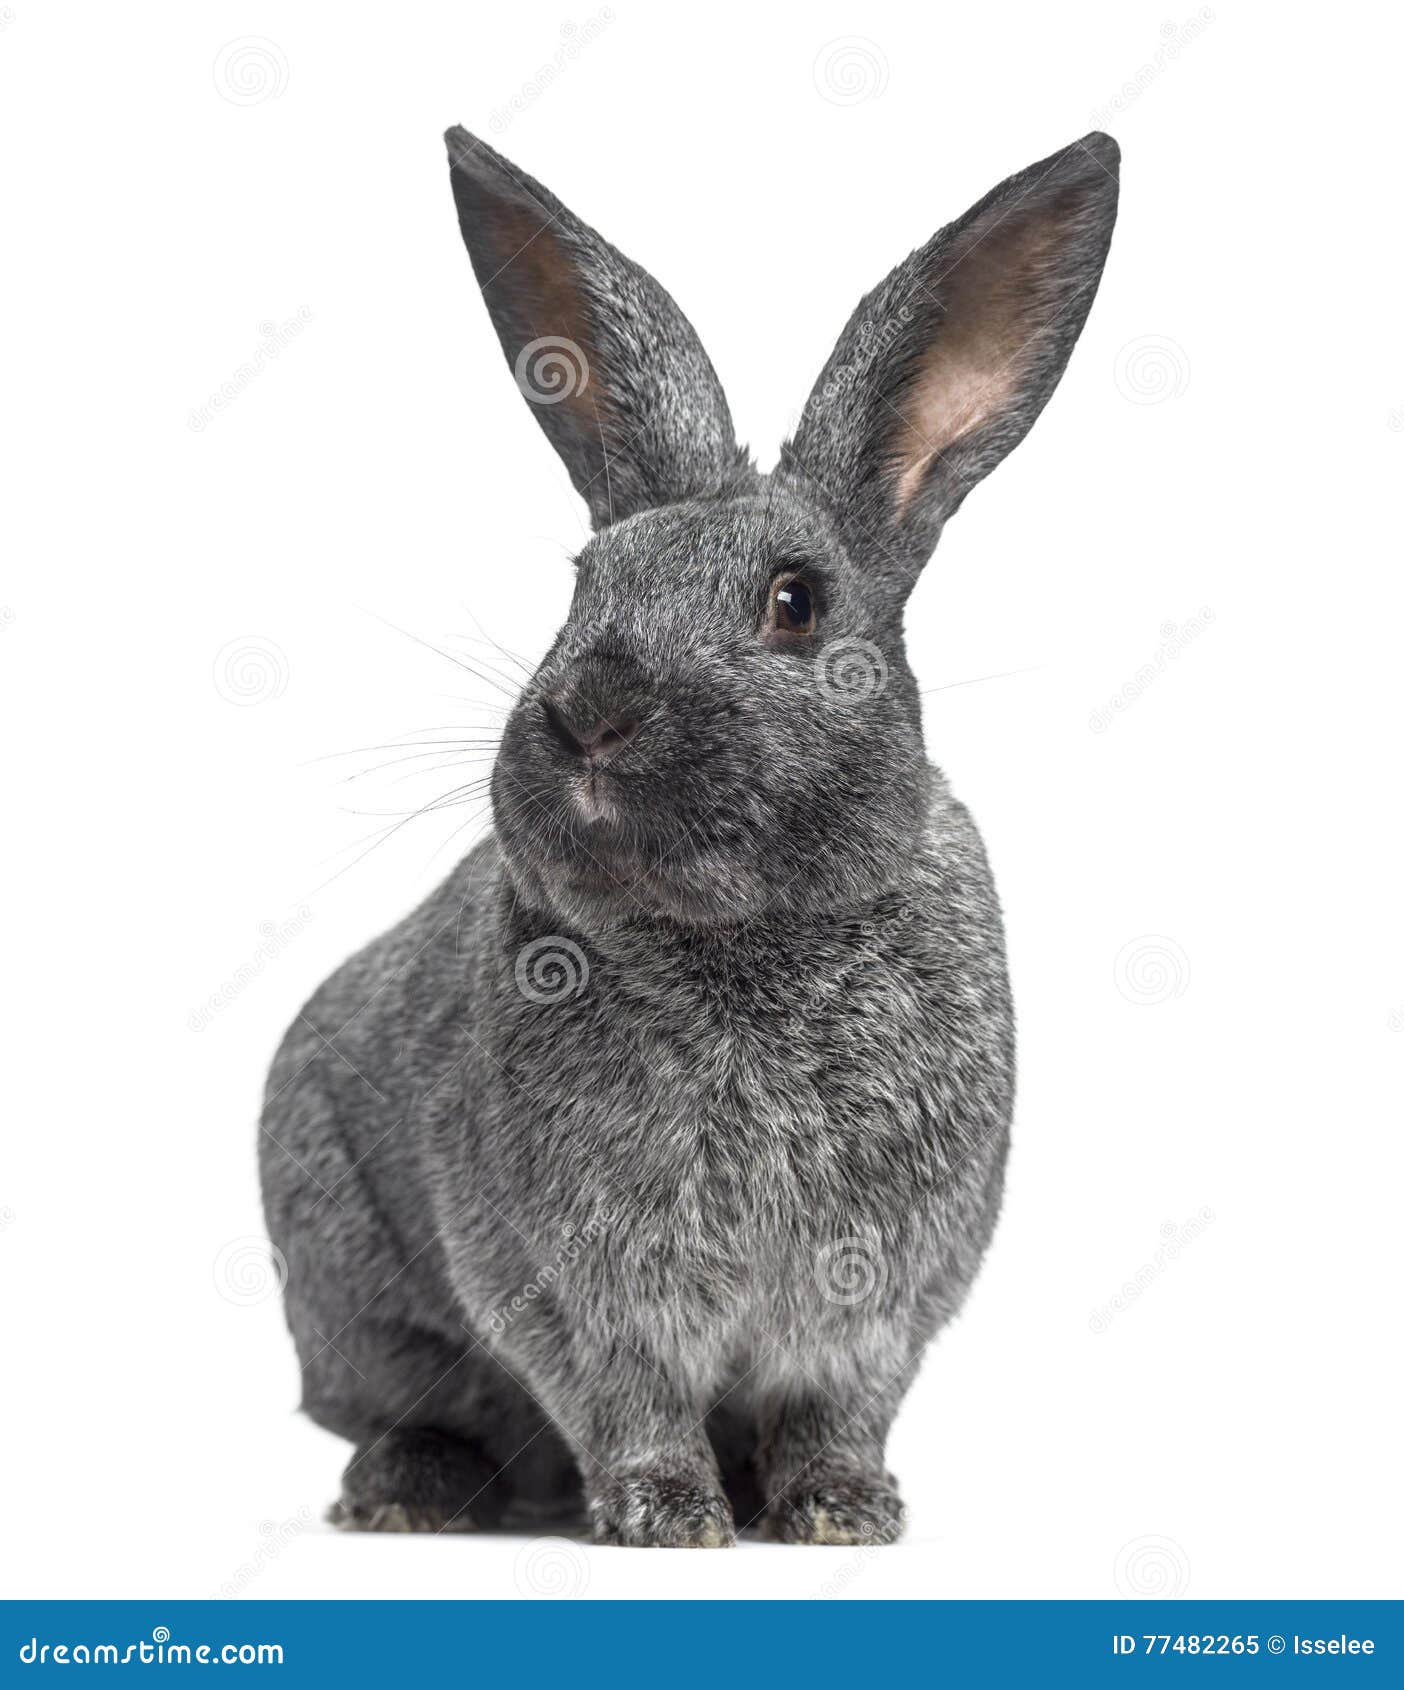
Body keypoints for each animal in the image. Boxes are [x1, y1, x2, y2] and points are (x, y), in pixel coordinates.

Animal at [260, 125, 1119, 1547]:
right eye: (581, 587)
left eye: (795, 602)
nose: (592, 710)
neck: (749, 934)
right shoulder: (567, 1287)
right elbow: (623, 1398)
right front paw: (668, 1516)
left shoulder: (882, 1298)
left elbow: (839, 1404)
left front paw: (841, 1510)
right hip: (344, 1283)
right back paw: (409, 1491)